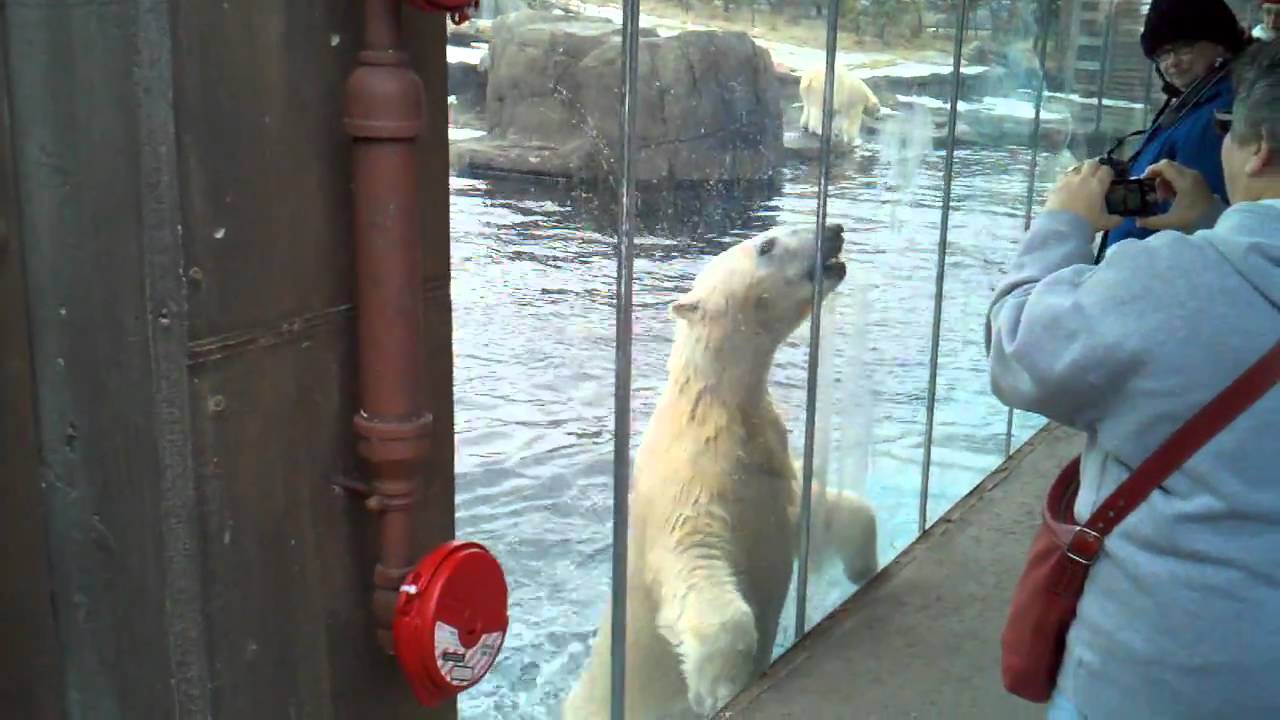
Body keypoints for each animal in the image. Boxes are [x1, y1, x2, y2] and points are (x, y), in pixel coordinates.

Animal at [560, 223, 880, 720]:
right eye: (767, 245)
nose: (834, 230)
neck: (714, 411)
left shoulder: (772, 473)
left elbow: (820, 508)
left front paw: (863, 566)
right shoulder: (692, 483)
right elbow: (699, 563)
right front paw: (718, 689)